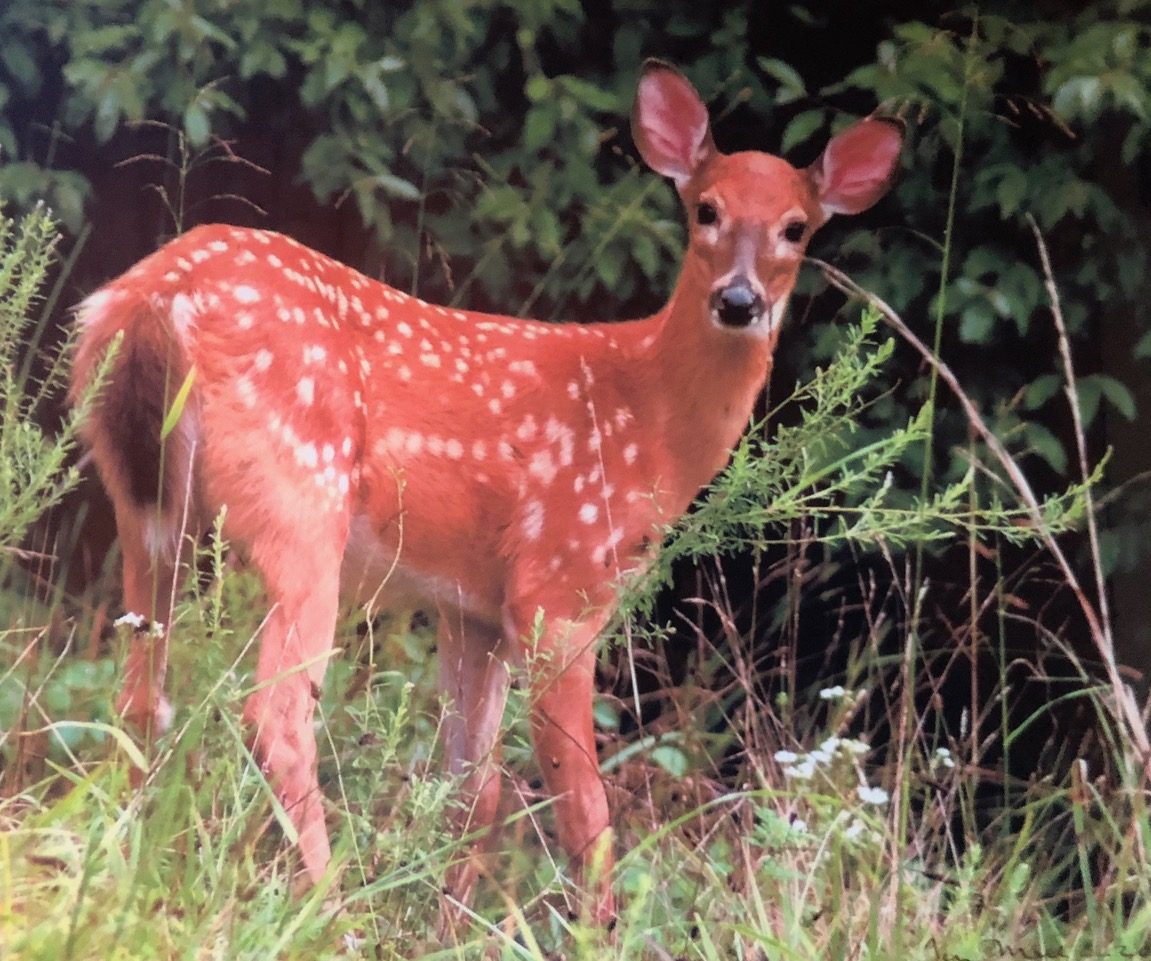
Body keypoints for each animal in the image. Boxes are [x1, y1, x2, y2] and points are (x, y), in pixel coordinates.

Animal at [69, 61, 902, 924]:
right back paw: (327, 904)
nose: (738, 301)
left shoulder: (471, 607)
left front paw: (448, 917)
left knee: (139, 696)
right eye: (706, 209)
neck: (648, 419)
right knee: (277, 712)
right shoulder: (557, 585)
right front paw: (596, 927)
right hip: (301, 499)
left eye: (795, 228)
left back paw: (126, 867)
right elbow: (582, 804)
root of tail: (151, 300)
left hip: (143, 504)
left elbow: (475, 787)